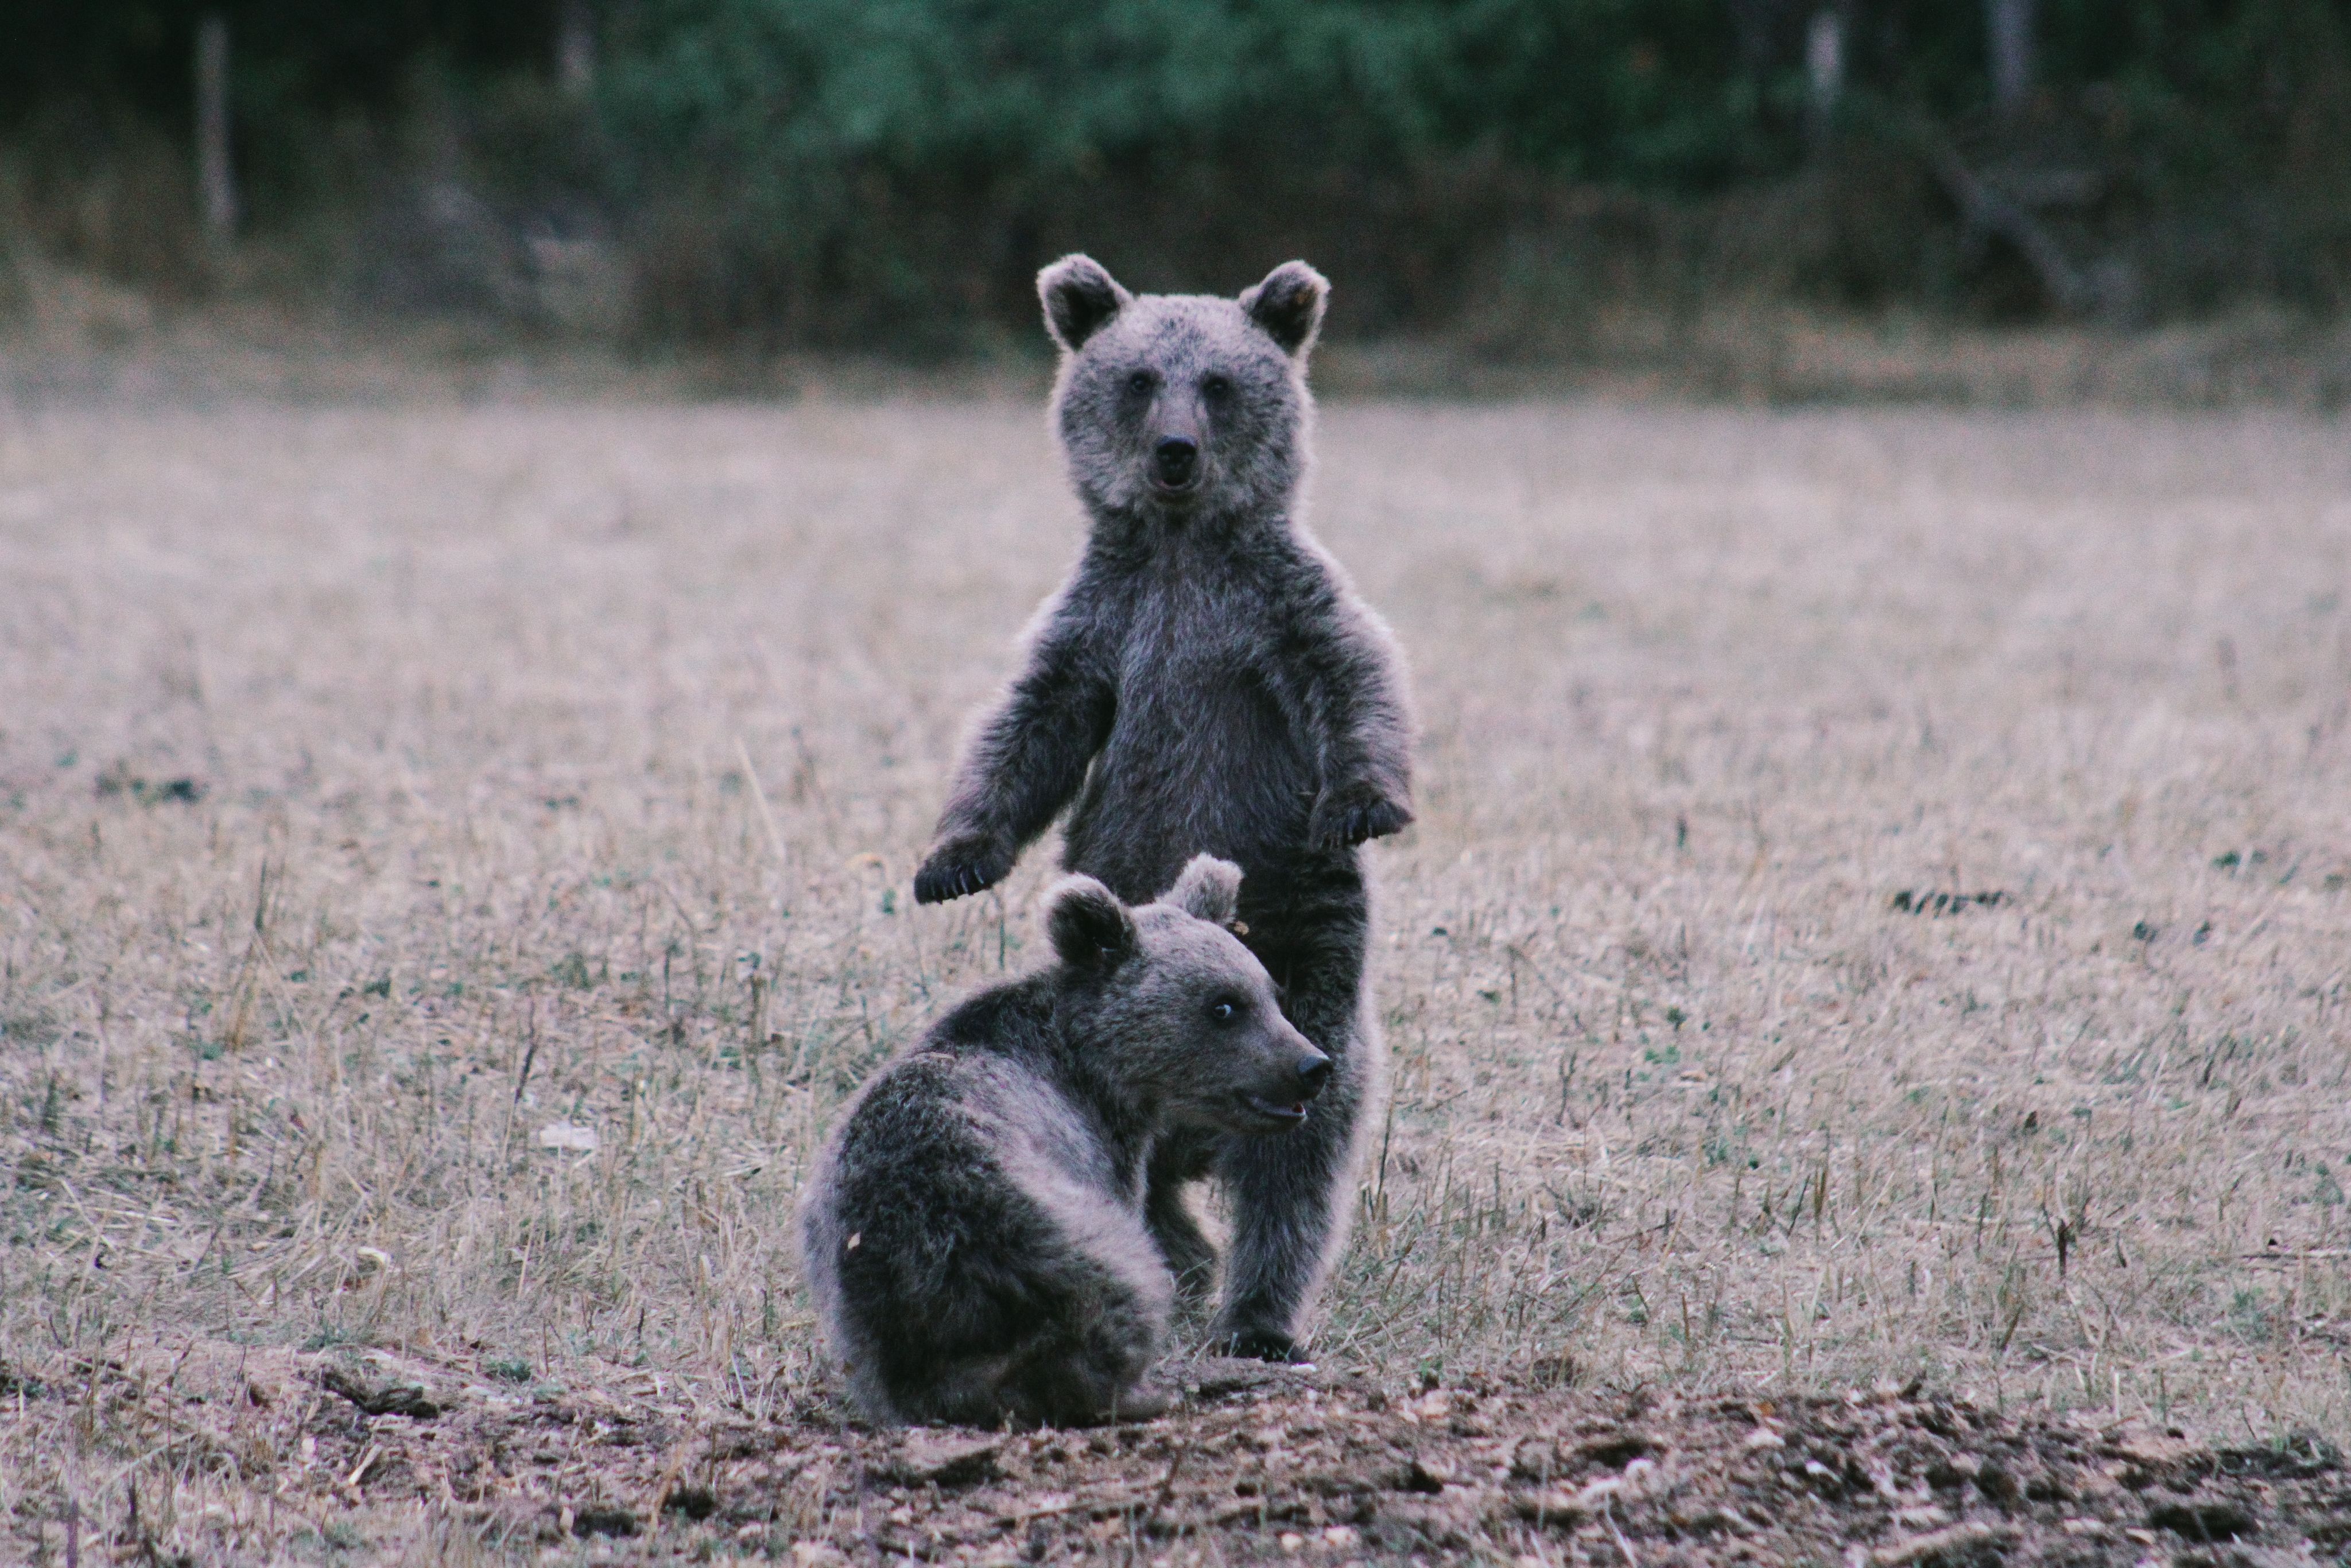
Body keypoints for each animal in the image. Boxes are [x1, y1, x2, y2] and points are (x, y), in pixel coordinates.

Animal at [799, 855, 1332, 1428]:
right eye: (1224, 1006)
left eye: (1270, 993)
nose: (1312, 1066)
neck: (1093, 1068)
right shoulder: (1098, 1147)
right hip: (1041, 1242)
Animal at [912, 255, 1414, 1363]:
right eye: (1141, 378)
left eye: (1218, 383)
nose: (1175, 453)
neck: (1184, 549)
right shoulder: (1105, 629)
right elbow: (1027, 730)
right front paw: (952, 859)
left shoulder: (1268, 613)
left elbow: (1355, 675)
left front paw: (1368, 801)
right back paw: (1184, 1256)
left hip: (1306, 974)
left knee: (1296, 1166)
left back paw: (1258, 1314)